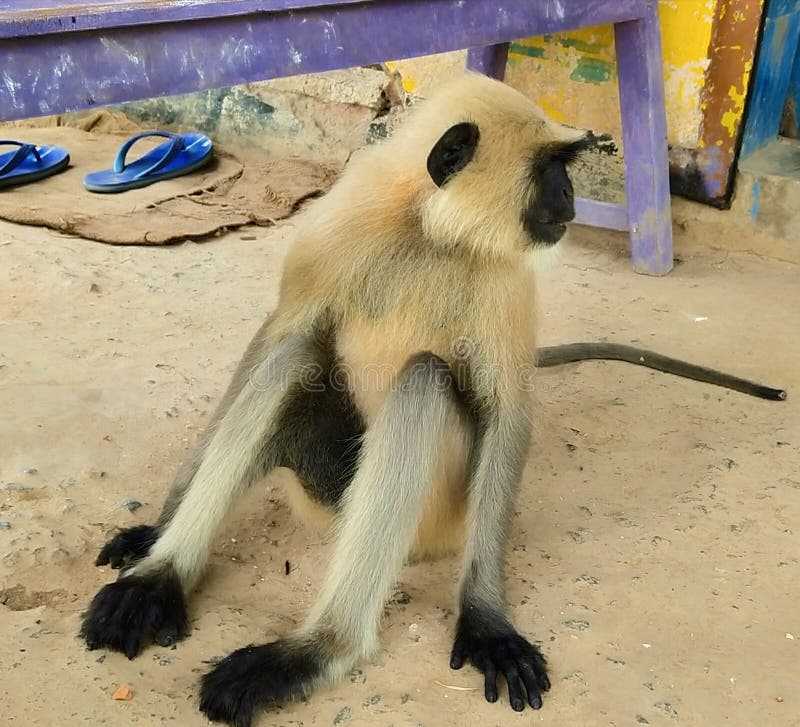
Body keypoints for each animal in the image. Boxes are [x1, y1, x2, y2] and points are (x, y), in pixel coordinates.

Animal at [79, 72, 785, 727]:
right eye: (549, 170)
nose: (570, 196)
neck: (430, 228)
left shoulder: (509, 280)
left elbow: (504, 413)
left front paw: (485, 619)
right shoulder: (333, 228)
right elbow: (273, 340)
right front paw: (154, 533)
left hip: (441, 518)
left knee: (421, 380)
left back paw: (316, 651)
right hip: (321, 487)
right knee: (295, 358)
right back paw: (160, 580)